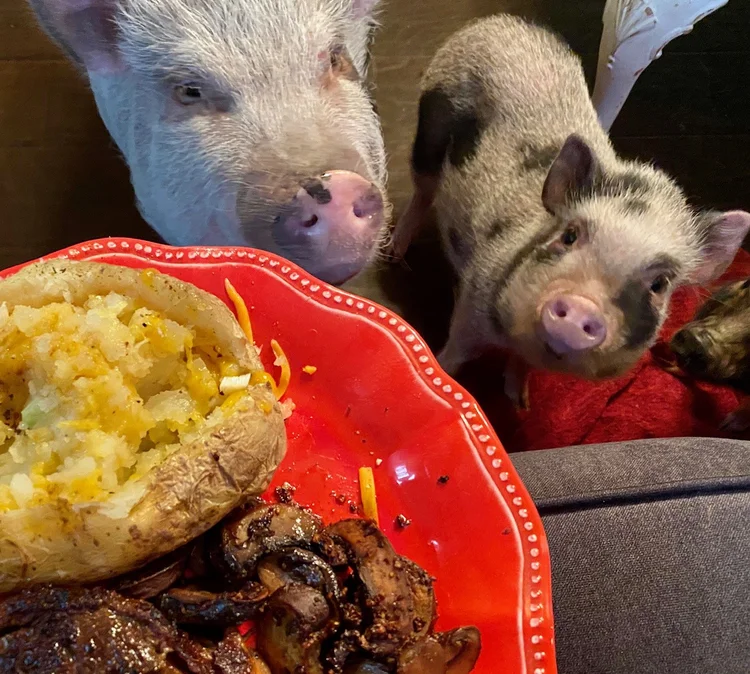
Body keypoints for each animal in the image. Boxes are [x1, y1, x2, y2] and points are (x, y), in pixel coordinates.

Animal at [390, 14, 750, 401]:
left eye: (659, 284)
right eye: (570, 235)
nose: (581, 306)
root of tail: (502, 21)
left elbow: (521, 368)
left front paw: (520, 400)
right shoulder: (474, 297)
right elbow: (457, 352)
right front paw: (444, 376)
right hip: (430, 125)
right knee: (422, 190)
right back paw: (397, 252)